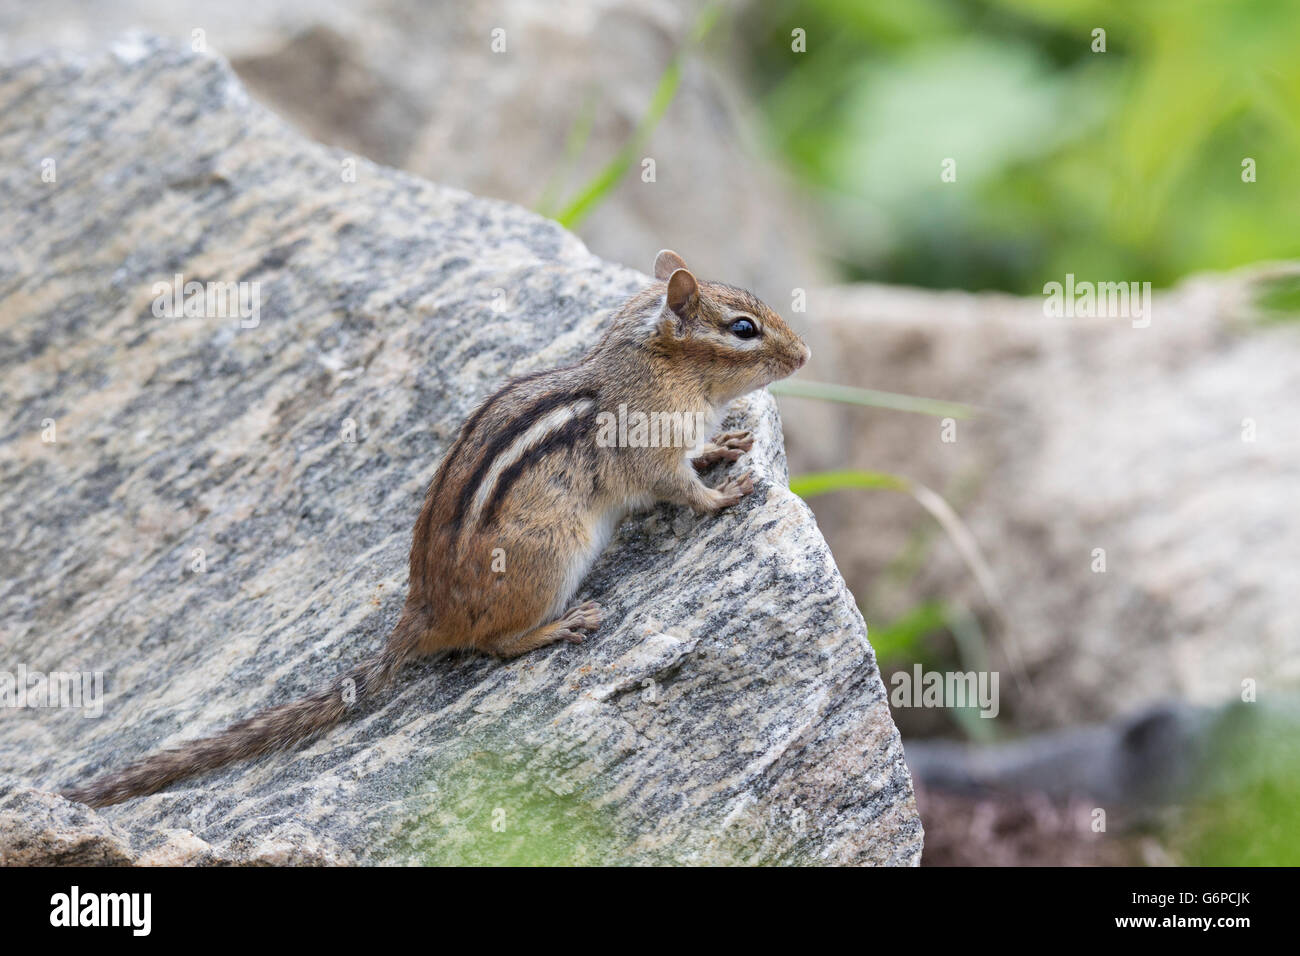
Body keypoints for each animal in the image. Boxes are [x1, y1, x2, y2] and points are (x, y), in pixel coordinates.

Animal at [63, 250, 810, 808]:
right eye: (744, 328)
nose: (804, 355)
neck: (653, 364)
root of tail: (424, 611)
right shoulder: (649, 451)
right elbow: (679, 489)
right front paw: (724, 493)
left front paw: (725, 446)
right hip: (551, 563)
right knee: (494, 645)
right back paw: (561, 626)